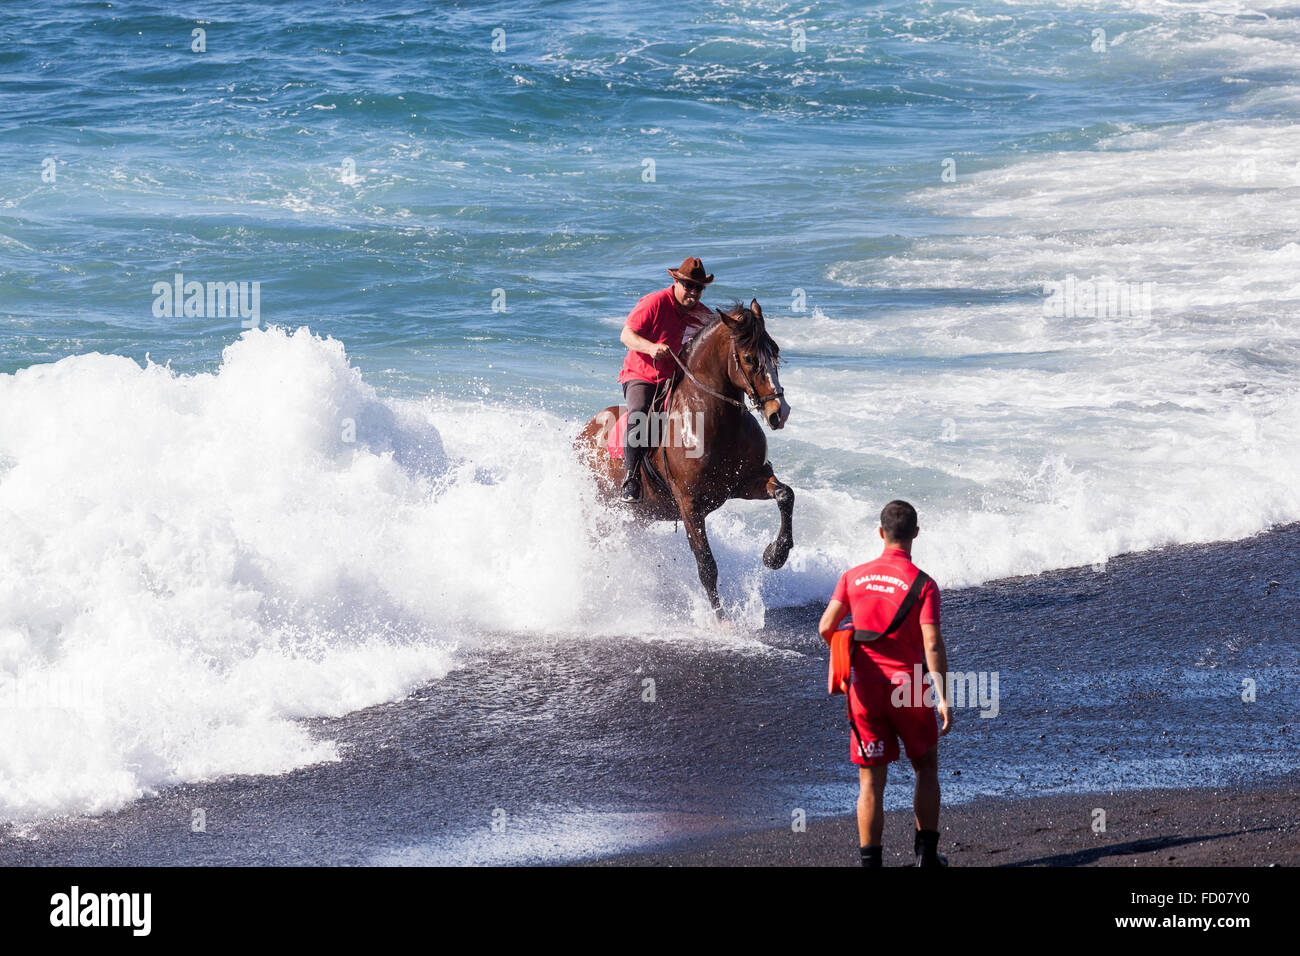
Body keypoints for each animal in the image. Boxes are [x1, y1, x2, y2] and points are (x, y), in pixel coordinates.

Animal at [576, 298, 794, 615]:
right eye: (749, 358)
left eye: (775, 351)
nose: (780, 412)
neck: (711, 419)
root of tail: (583, 434)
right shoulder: (690, 503)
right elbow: (706, 565)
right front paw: (721, 619)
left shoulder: (747, 482)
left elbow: (785, 495)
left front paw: (775, 555)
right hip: (603, 508)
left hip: (638, 517)